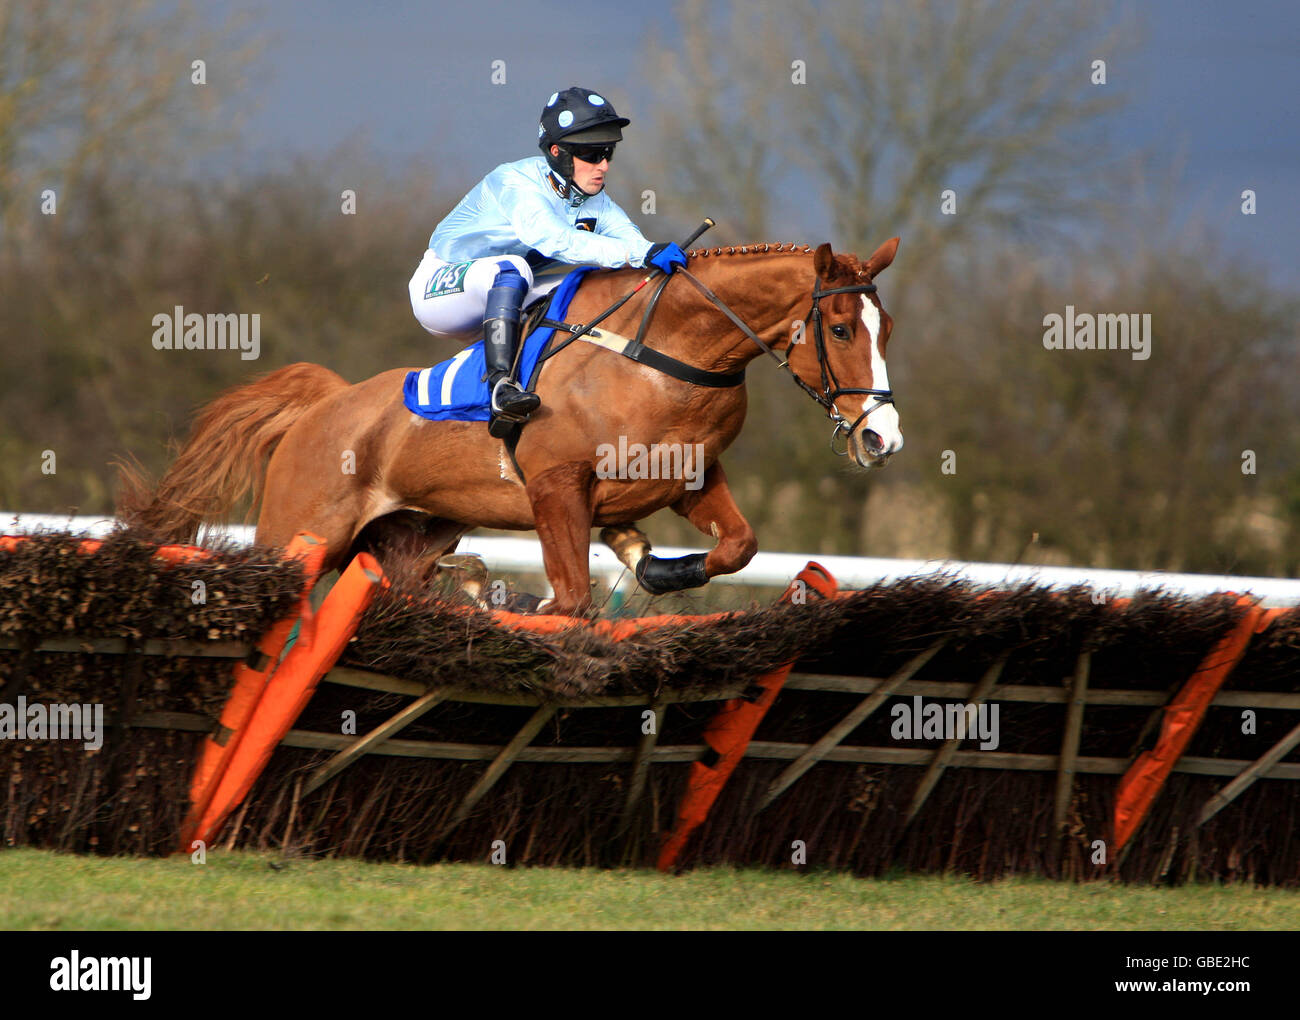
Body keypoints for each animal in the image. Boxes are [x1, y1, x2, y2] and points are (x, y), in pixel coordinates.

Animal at [118, 239, 903, 615]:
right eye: (840, 328)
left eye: (886, 327)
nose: (882, 439)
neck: (664, 352)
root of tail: (325, 405)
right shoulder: (556, 487)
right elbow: (572, 595)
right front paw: (556, 592)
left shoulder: (689, 478)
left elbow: (739, 545)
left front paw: (652, 564)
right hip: (299, 530)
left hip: (418, 527)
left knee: (408, 577)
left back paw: (471, 580)